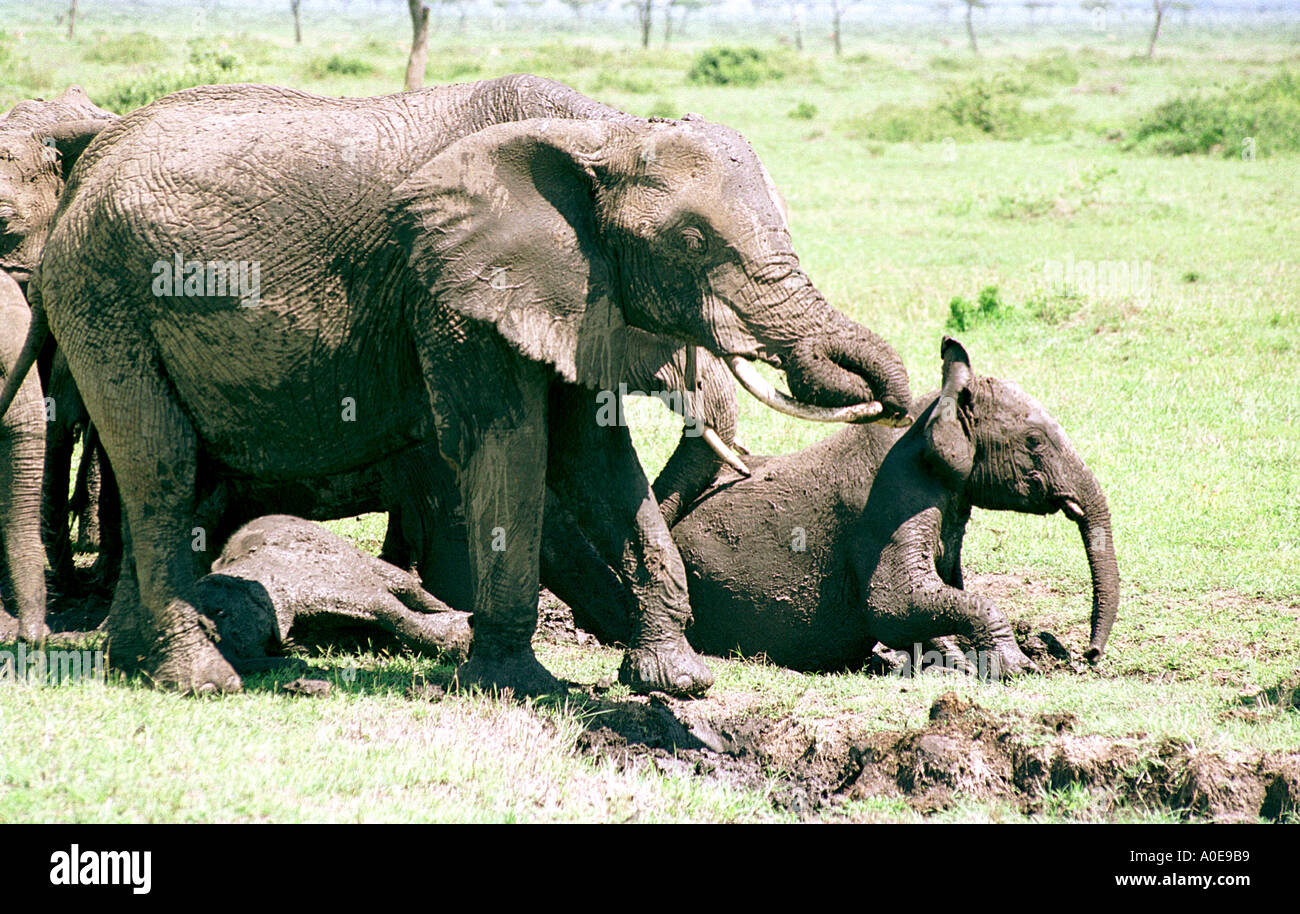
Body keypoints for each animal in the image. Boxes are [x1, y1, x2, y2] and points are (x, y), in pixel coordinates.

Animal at [3, 76, 912, 696]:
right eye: (692, 243)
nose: (898, 407)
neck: (600, 131)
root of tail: (88, 168)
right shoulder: (451, 285)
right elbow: (508, 444)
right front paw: (520, 686)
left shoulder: (565, 289)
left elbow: (593, 461)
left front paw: (674, 682)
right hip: (101, 289)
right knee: (161, 465)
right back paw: (201, 680)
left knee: (176, 471)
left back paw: (141, 663)